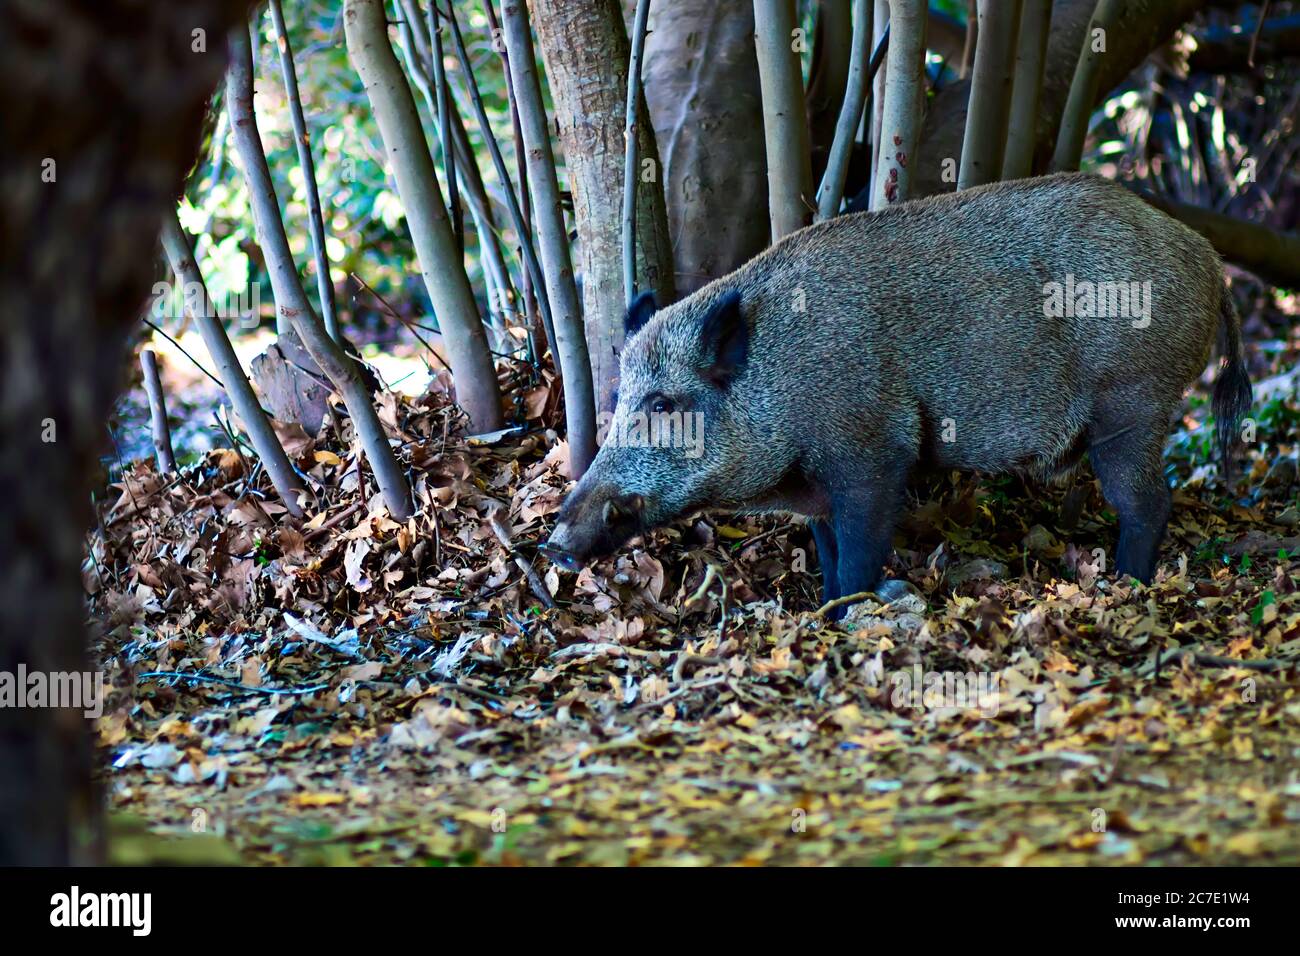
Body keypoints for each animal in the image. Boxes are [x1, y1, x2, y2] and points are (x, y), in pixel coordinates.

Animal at [542, 172, 1252, 616]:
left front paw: (844, 618)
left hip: (1133, 402)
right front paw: (828, 611)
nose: (554, 541)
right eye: (620, 396)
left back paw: (1126, 587)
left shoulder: (874, 451)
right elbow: (828, 555)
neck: (780, 380)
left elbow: (860, 552)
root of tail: (1209, 260)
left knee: (1148, 503)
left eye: (663, 405)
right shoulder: (817, 492)